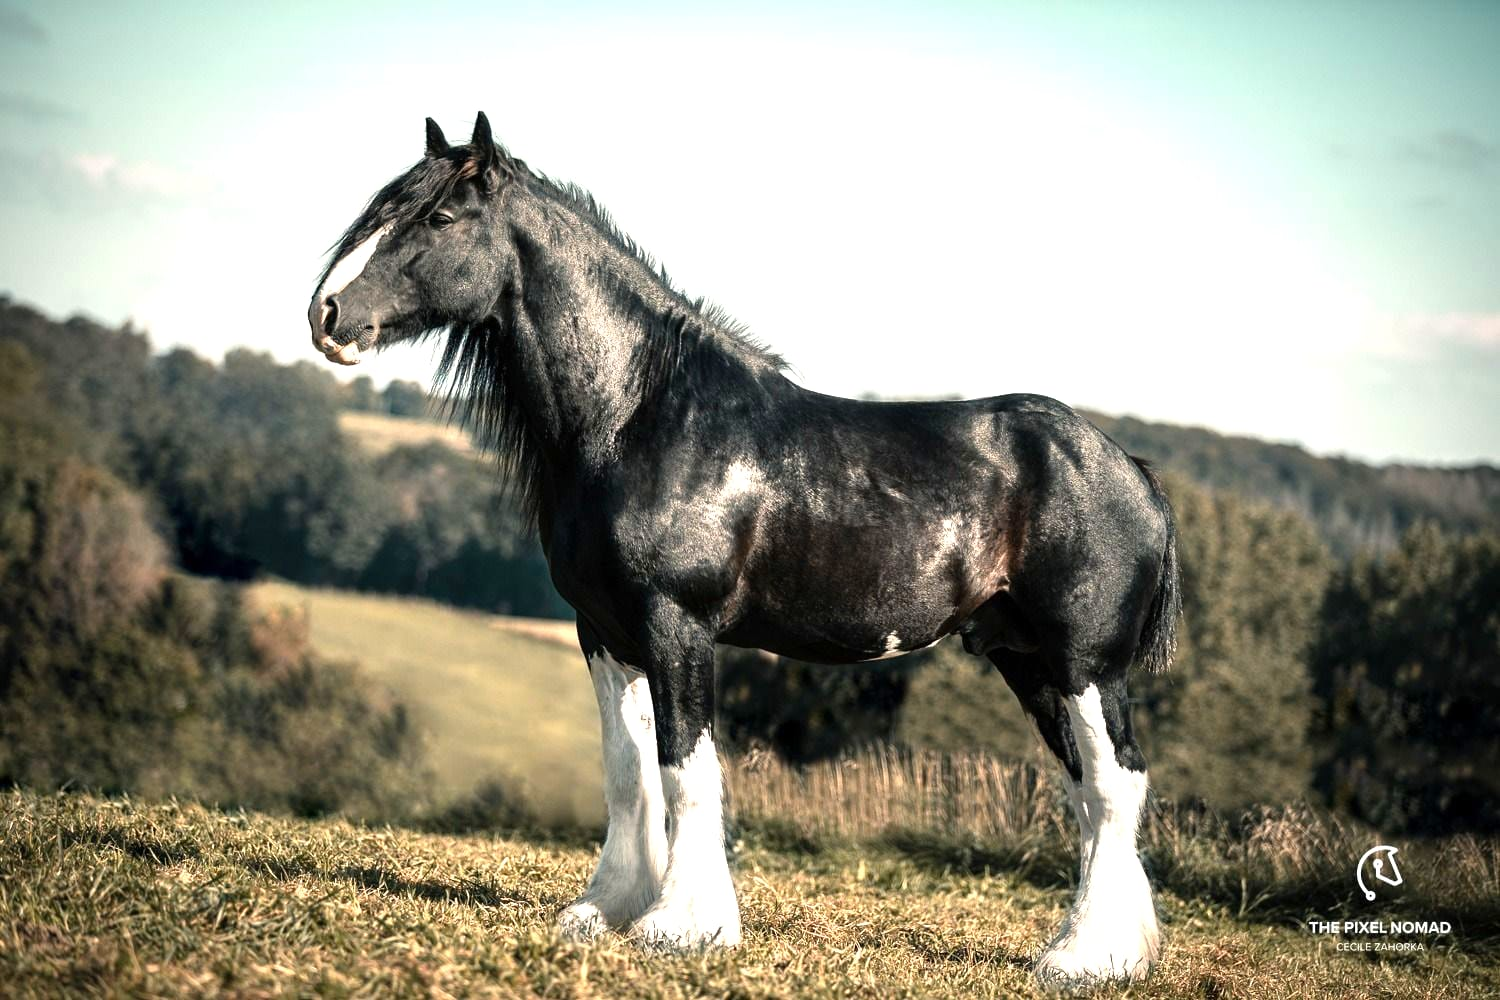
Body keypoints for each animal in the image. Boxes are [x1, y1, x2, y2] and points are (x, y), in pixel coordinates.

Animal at [307, 113, 1181, 985]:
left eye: (439, 217)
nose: (327, 316)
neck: (640, 414)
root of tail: (1130, 470)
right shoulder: (605, 635)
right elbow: (628, 773)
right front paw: (606, 909)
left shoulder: (677, 627)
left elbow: (686, 771)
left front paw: (683, 926)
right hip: (1026, 660)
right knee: (1086, 789)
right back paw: (1106, 948)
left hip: (1083, 663)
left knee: (1115, 784)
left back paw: (1086, 958)